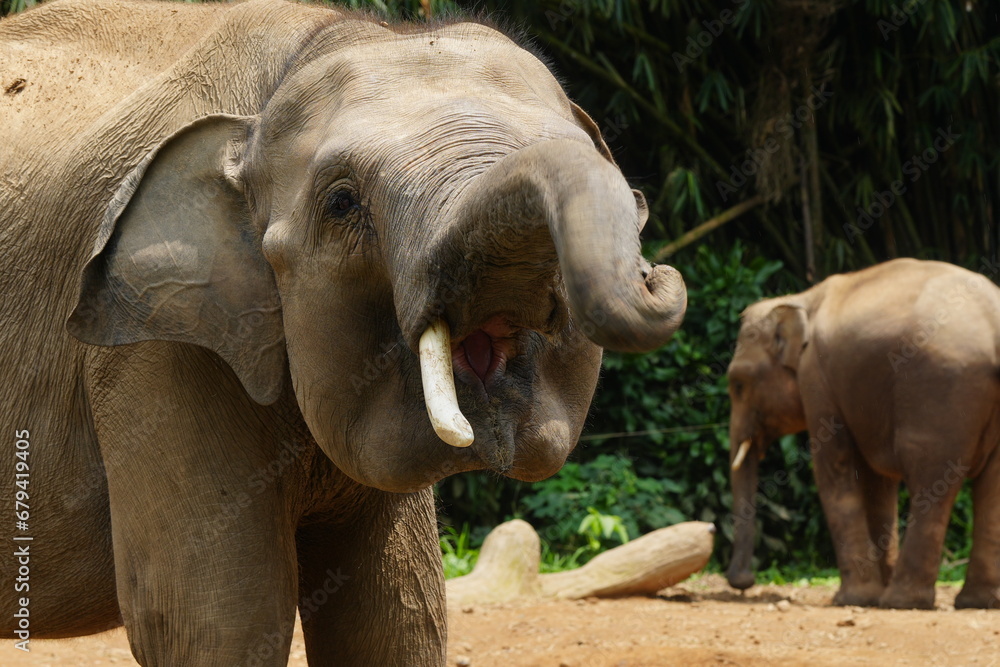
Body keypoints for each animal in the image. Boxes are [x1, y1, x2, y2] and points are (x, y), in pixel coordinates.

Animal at [725, 258, 1000, 610]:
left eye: (738, 384)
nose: (742, 582)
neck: (801, 298)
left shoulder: (816, 377)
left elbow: (834, 465)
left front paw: (852, 598)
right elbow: (876, 480)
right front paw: (871, 593)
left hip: (940, 387)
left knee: (931, 479)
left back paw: (902, 601)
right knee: (992, 485)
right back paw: (977, 602)